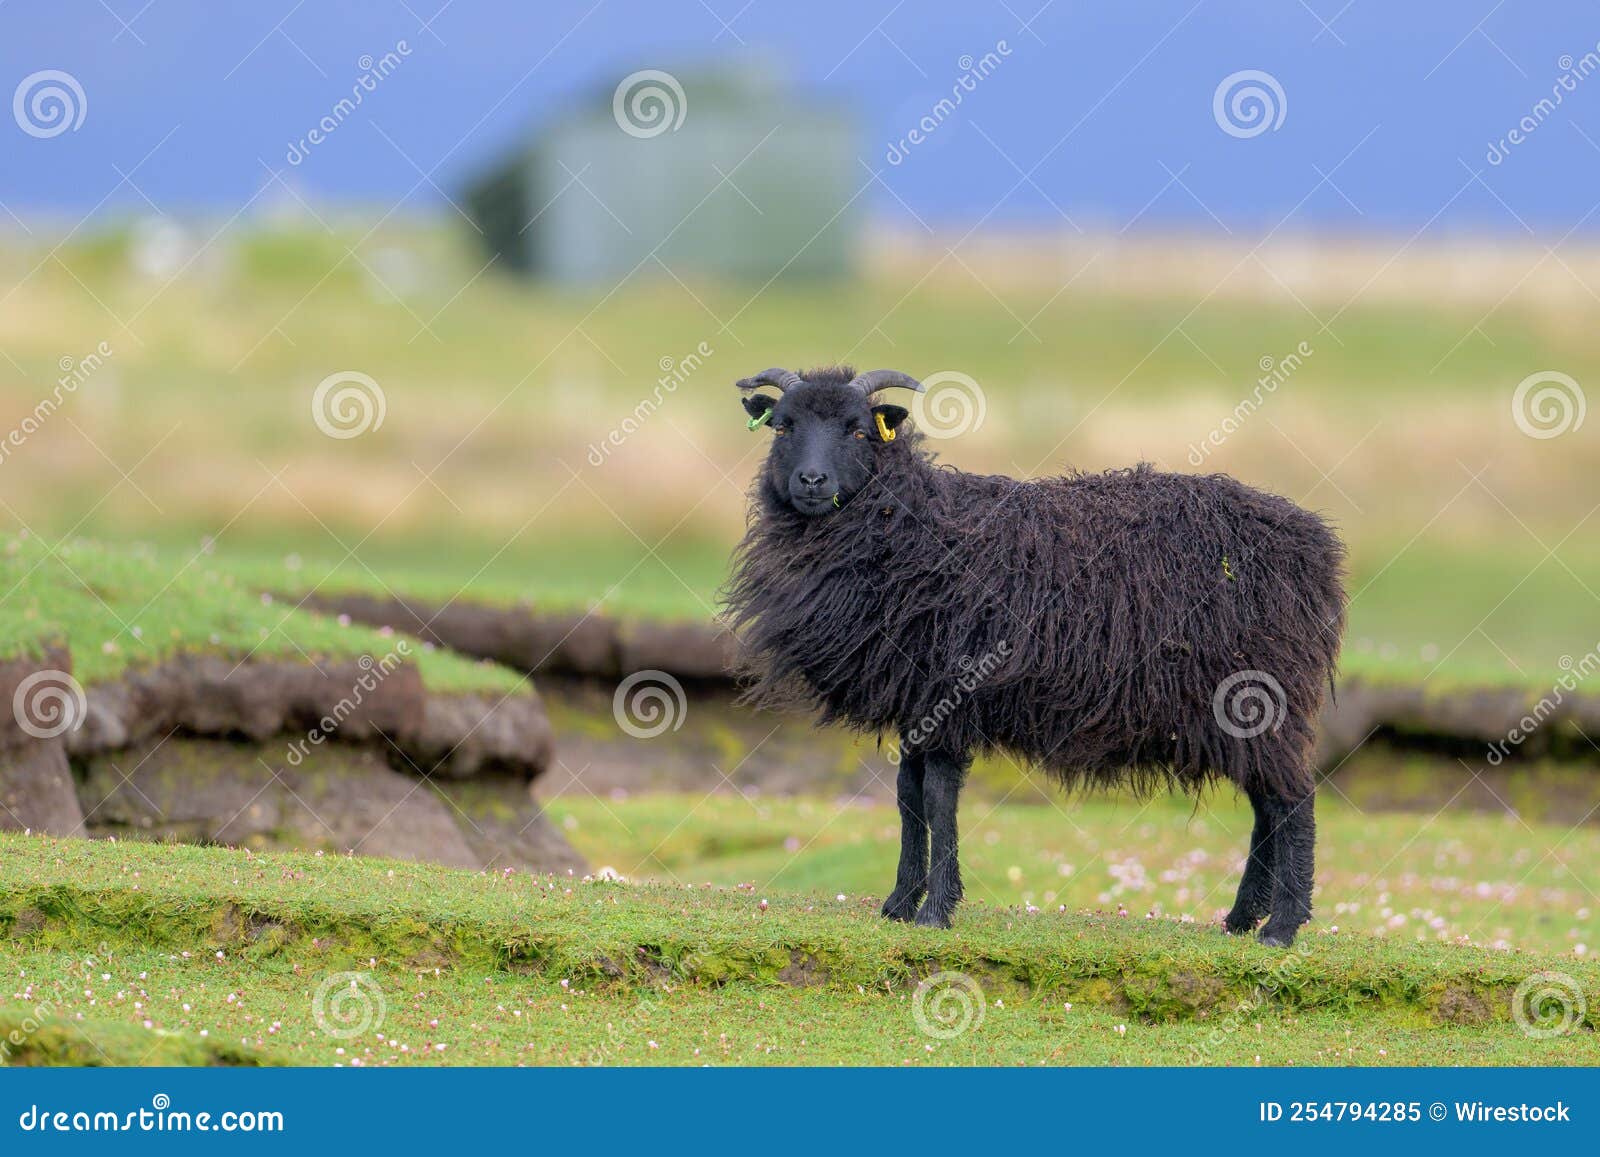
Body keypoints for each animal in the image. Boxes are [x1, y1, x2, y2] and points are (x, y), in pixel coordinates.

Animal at [721, 365, 1346, 946]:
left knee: (1293, 804)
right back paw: (1240, 921)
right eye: (783, 425)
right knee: (1267, 808)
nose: (811, 479)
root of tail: (1315, 546)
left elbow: (938, 800)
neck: (911, 526)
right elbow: (906, 799)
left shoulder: (950, 695)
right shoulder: (917, 702)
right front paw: (899, 902)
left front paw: (934, 911)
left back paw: (1281, 927)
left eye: (857, 430)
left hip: (1262, 697)